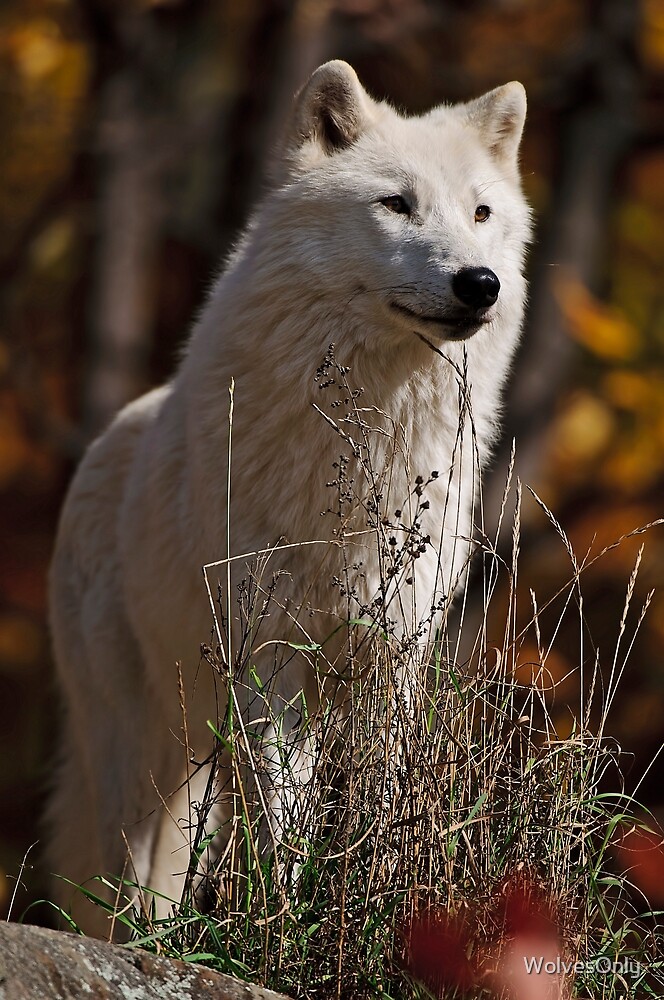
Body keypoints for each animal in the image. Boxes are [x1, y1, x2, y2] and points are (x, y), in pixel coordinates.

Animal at [46, 60, 530, 935]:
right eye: (396, 203)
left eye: (482, 213)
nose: (480, 283)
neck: (365, 446)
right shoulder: (269, 660)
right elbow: (286, 821)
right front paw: (287, 921)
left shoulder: (392, 657)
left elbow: (378, 804)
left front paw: (372, 907)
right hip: (138, 746)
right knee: (128, 873)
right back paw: (148, 945)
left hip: (191, 757)